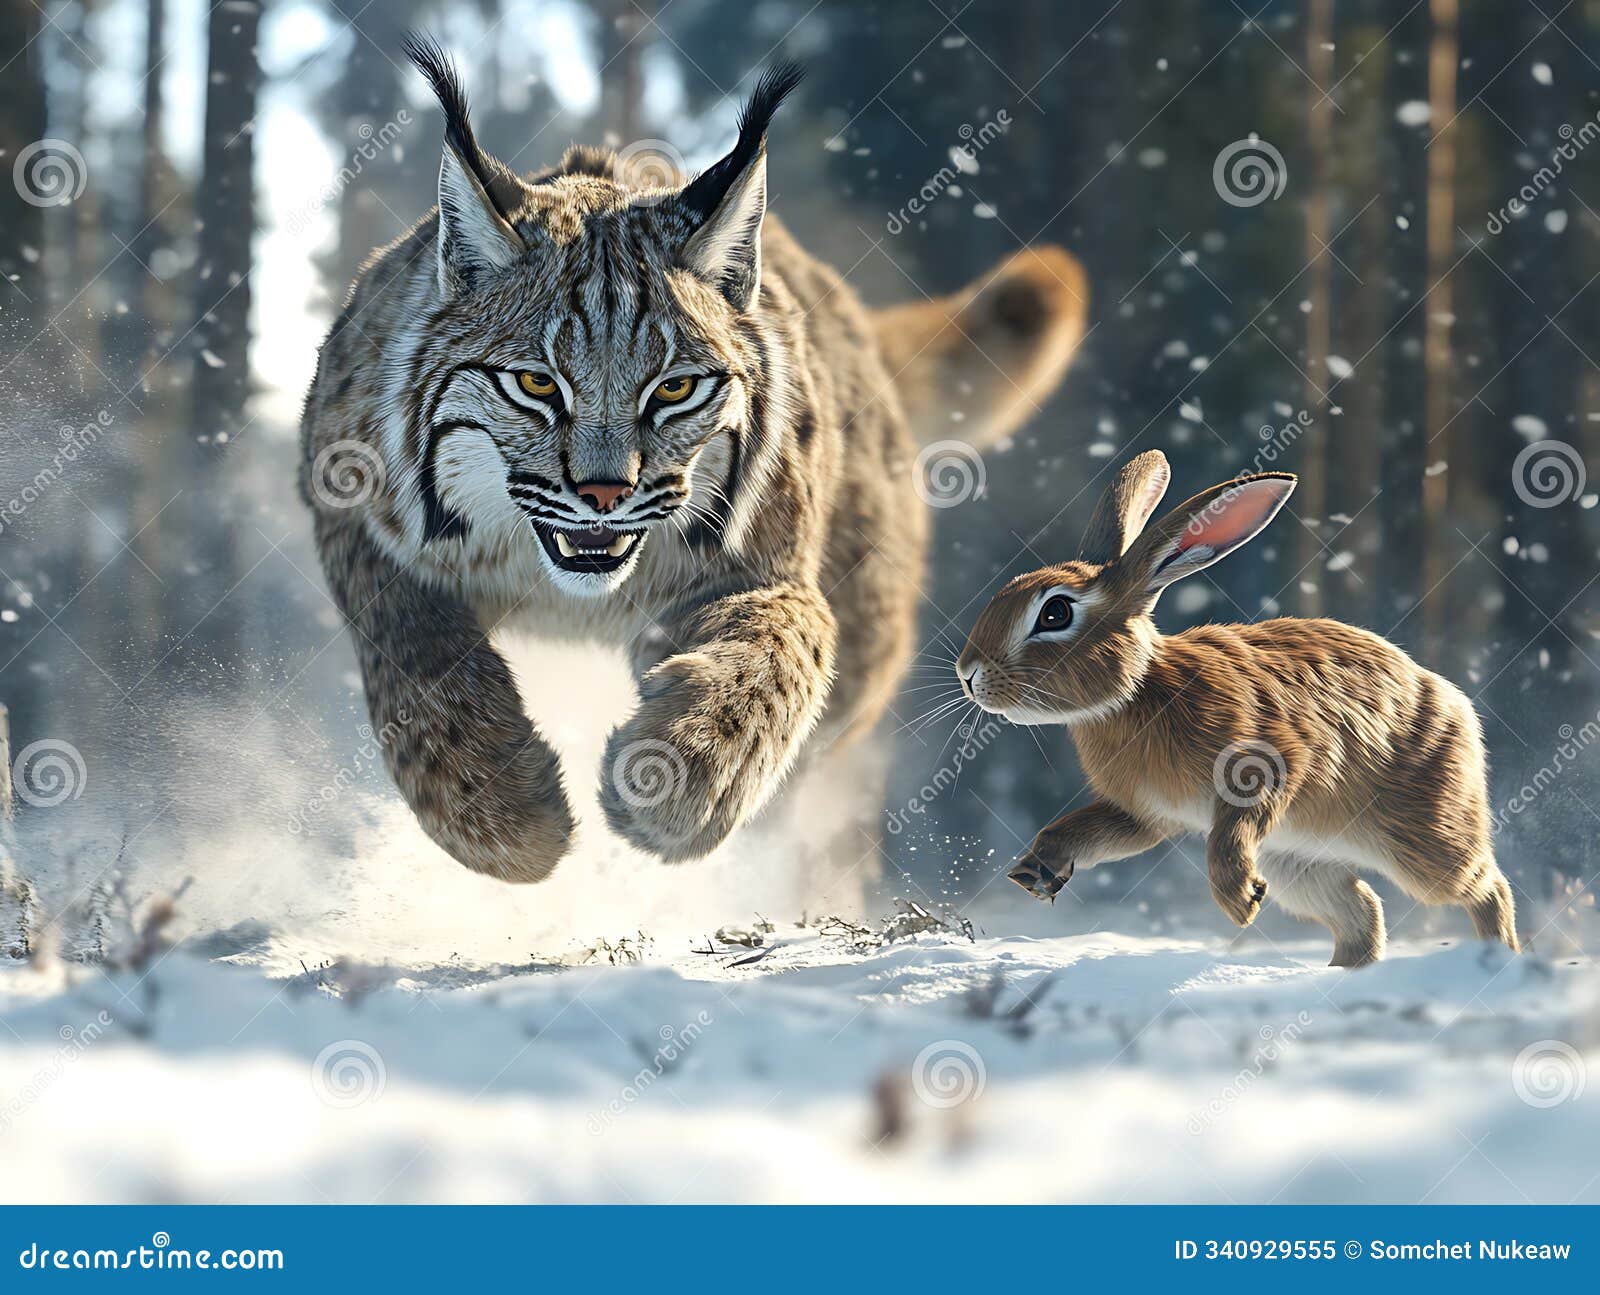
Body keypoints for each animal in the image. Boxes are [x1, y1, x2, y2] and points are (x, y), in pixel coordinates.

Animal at [955, 450, 1519, 967]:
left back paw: (1499, 960)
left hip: (1423, 838)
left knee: (1485, 887)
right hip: (1302, 864)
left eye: (1055, 613)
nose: (968, 673)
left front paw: (1240, 903)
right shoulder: (1144, 815)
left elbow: (1228, 837)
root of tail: (1453, 701)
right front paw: (1034, 872)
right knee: (1363, 913)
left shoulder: (1267, 765)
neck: (1138, 692)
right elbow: (1081, 831)